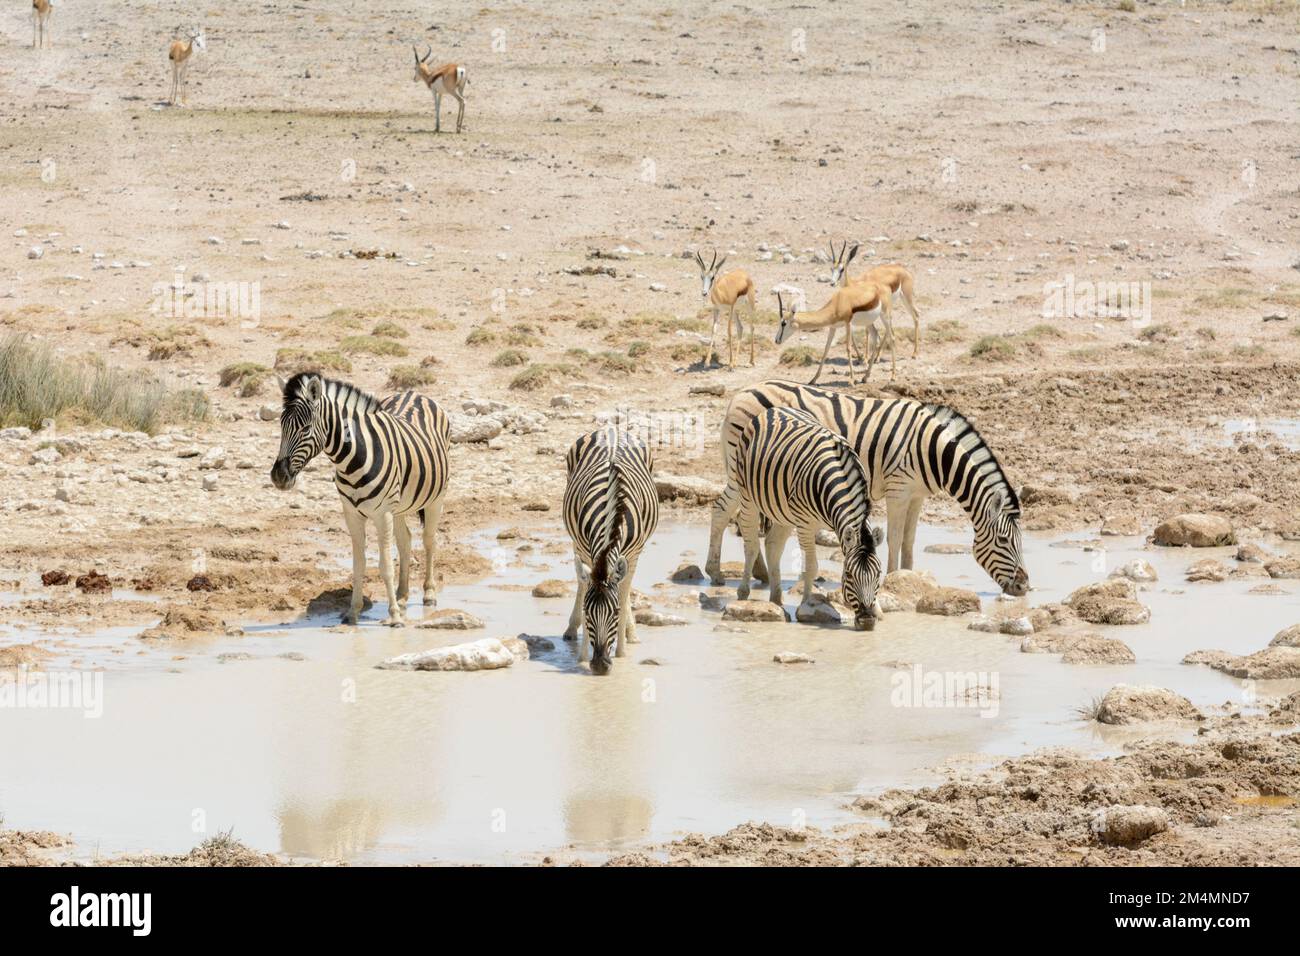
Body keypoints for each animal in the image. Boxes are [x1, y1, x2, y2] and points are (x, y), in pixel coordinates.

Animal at [270, 372, 450, 627]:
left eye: (305, 428)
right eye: (281, 426)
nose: (278, 476)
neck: (352, 459)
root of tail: (414, 393)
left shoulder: (382, 514)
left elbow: (385, 566)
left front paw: (394, 616)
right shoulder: (352, 514)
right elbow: (359, 564)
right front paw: (353, 612)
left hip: (436, 499)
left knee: (428, 541)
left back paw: (429, 594)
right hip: (400, 506)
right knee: (405, 541)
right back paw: (402, 596)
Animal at [562, 427, 659, 675]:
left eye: (614, 613)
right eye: (588, 612)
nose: (600, 665)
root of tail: (610, 429)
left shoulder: (633, 554)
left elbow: (623, 595)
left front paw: (622, 652)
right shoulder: (586, 549)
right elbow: (585, 585)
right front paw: (581, 657)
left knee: (625, 585)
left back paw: (631, 633)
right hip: (576, 541)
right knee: (581, 581)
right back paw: (571, 629)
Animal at [706, 380, 1029, 597]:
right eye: (1003, 540)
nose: (1024, 586)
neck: (933, 450)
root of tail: (740, 393)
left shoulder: (917, 495)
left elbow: (910, 541)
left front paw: (909, 578)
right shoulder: (899, 490)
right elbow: (896, 539)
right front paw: (893, 578)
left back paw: (755, 572)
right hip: (742, 474)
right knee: (724, 510)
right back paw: (717, 572)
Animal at [734, 406, 883, 630]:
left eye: (879, 574)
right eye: (848, 574)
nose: (867, 622)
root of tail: (774, 409)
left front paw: (879, 610)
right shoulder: (805, 524)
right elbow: (811, 567)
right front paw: (806, 605)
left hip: (783, 512)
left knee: (772, 544)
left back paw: (776, 600)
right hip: (747, 496)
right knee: (751, 546)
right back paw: (743, 593)